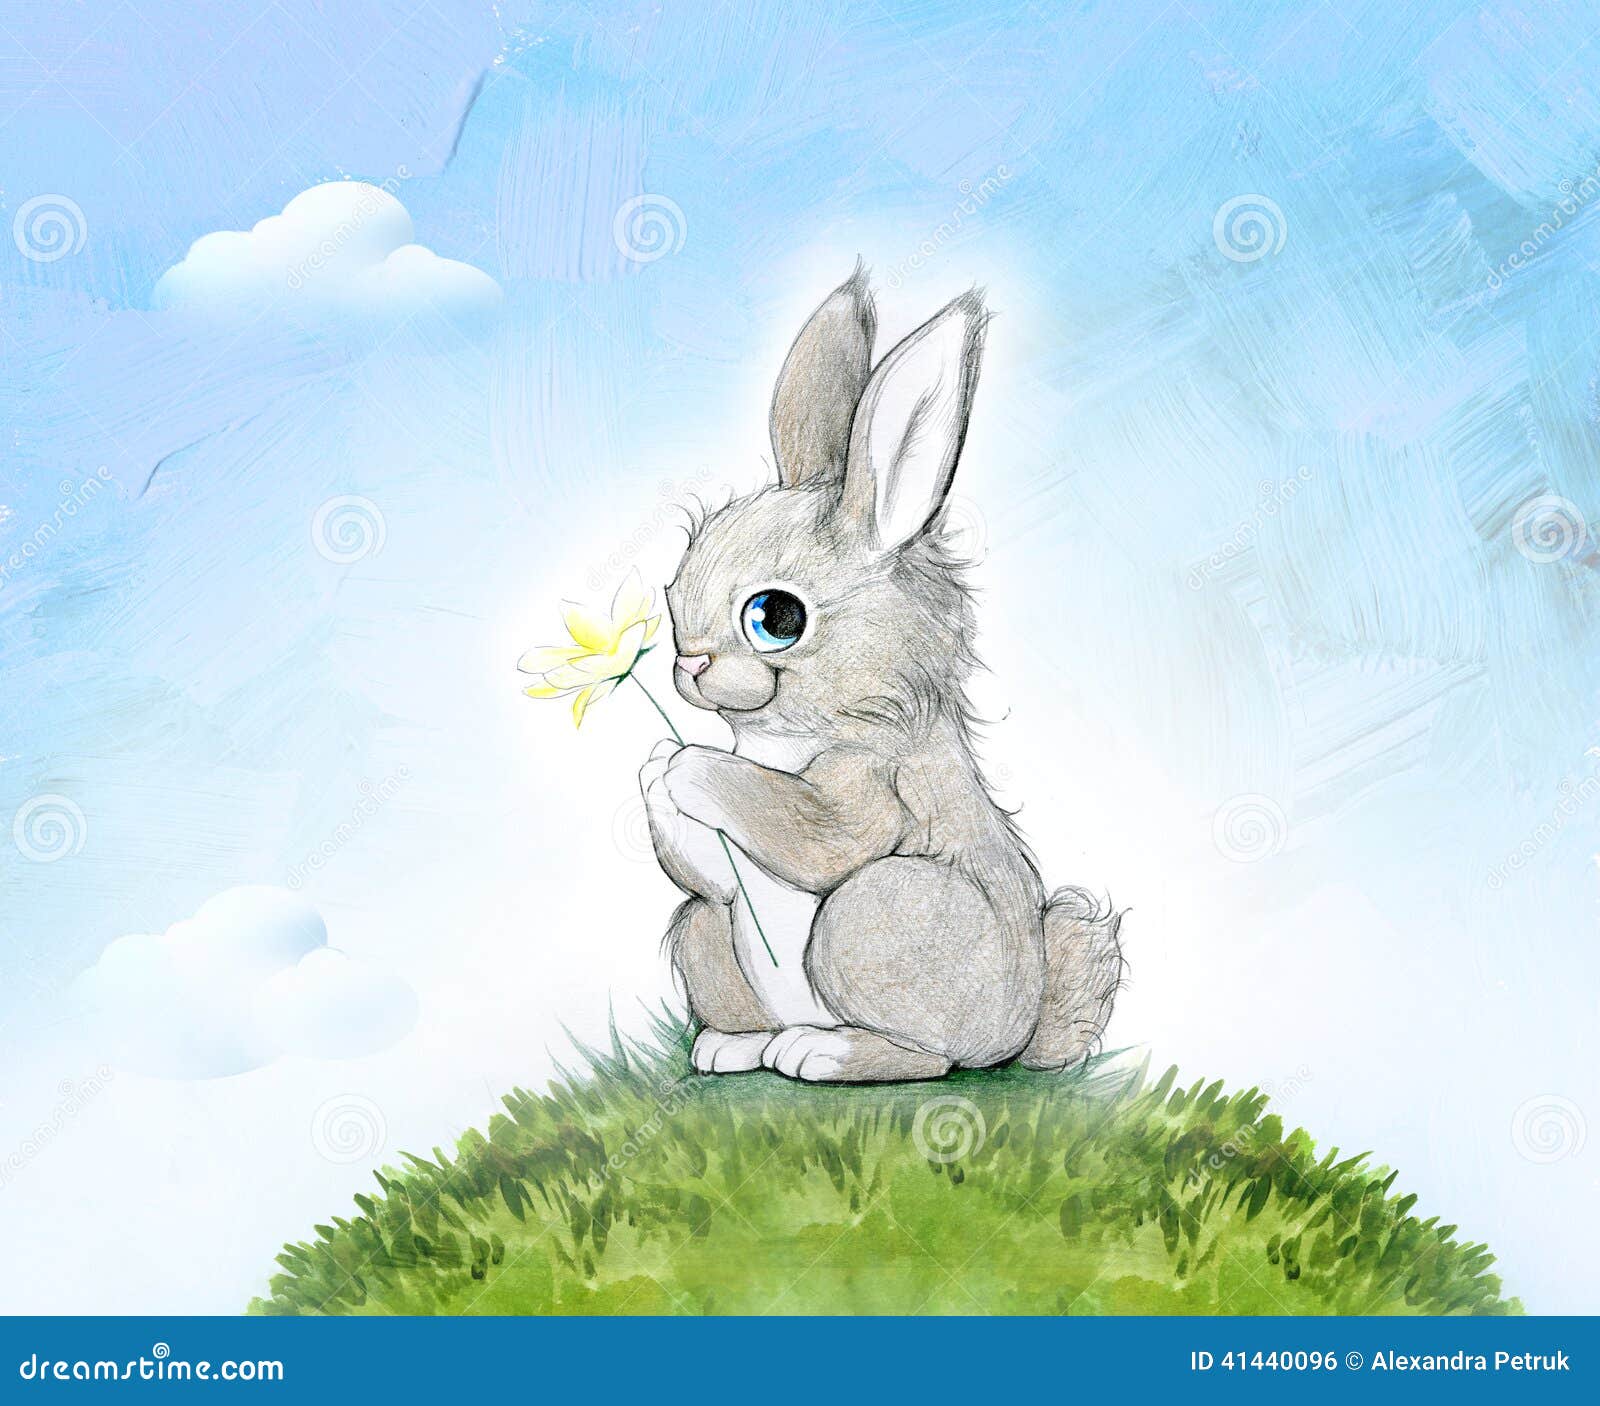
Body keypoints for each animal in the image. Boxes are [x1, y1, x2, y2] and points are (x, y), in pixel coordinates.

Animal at [638, 266, 1123, 1083]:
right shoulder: (720, 877)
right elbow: (708, 871)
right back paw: (732, 1048)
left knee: (933, 1060)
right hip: (705, 938)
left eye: (776, 617)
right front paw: (651, 772)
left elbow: (818, 837)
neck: (785, 737)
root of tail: (1021, 1030)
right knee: (714, 931)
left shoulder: (870, 785)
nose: (688, 662)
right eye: (673, 590)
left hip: (877, 917)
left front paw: (682, 766)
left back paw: (825, 1053)